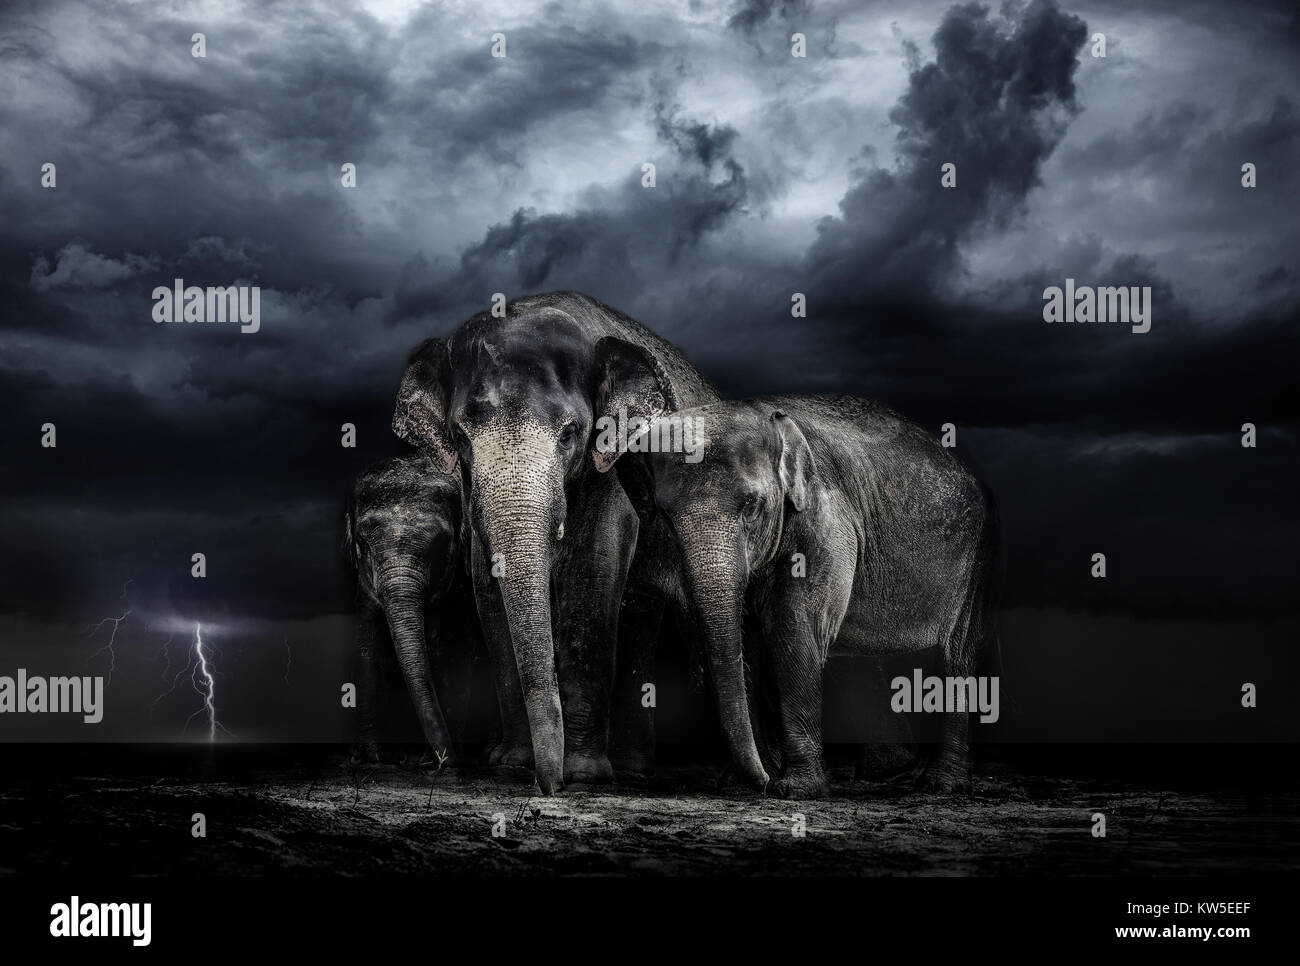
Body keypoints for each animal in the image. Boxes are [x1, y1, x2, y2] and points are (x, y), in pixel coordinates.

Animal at [344, 451, 479, 767]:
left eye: (440, 544)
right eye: (363, 545)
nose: (442, 761)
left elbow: (456, 646)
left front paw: (437, 760)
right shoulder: (364, 585)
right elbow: (368, 643)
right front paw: (375, 757)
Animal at [392, 291, 716, 793]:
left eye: (570, 433)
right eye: (461, 437)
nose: (549, 788)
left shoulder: (614, 463)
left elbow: (592, 574)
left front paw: (582, 773)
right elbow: (487, 586)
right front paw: (512, 765)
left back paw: (626, 770)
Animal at [605, 394, 999, 798]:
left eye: (752, 506)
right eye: (663, 516)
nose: (764, 781)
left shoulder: (826, 521)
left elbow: (794, 626)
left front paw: (794, 789)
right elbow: (748, 639)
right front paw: (747, 780)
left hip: (977, 560)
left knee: (958, 655)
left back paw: (940, 784)